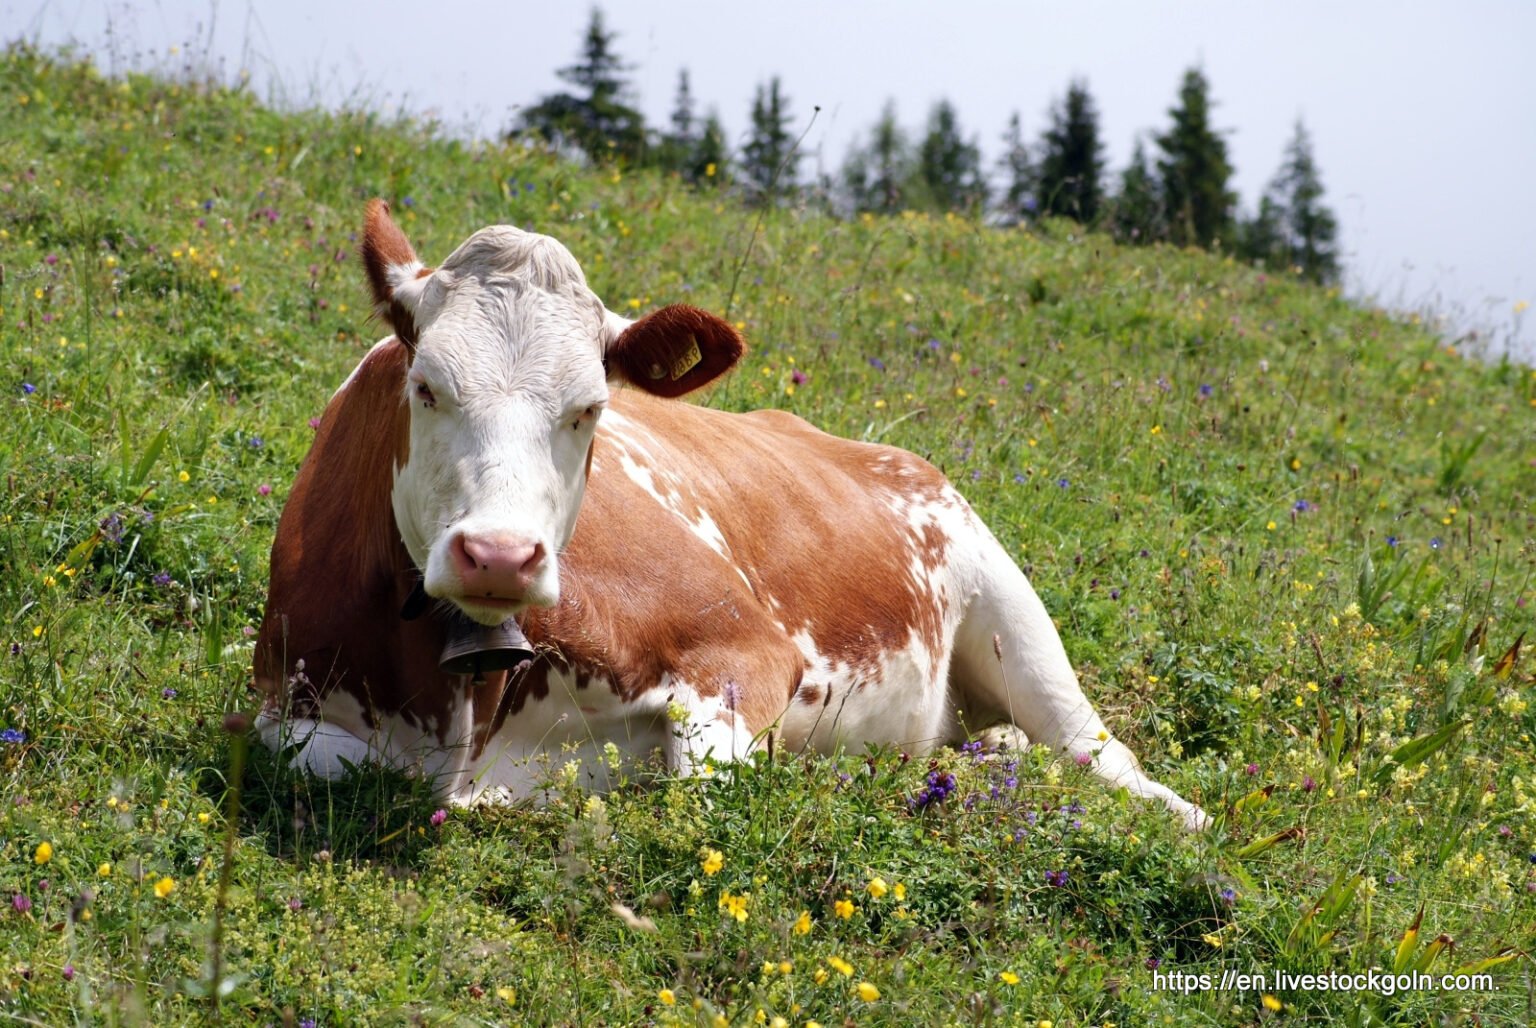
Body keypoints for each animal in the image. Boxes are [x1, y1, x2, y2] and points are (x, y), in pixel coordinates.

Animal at [252, 200, 1206, 831]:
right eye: (426, 386)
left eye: (591, 409)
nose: (499, 555)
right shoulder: (281, 707)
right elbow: (321, 761)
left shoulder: (744, 651)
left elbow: (702, 788)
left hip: (1008, 608)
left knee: (1098, 753)